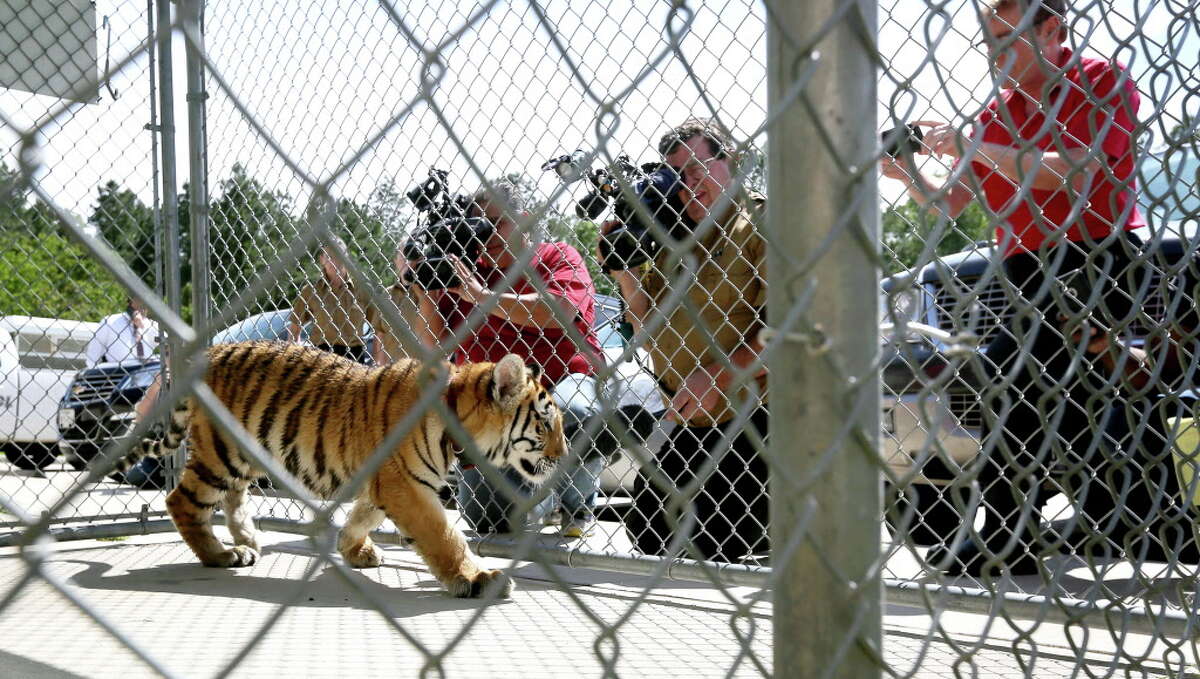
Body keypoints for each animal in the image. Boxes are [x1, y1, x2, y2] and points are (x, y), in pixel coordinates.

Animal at [123, 340, 566, 598]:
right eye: (545, 424)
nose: (563, 456)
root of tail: (209, 353)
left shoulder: (384, 481)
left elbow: (361, 517)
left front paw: (353, 551)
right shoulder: (406, 485)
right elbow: (445, 537)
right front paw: (477, 579)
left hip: (244, 454)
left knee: (233, 497)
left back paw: (247, 541)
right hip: (221, 453)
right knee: (181, 500)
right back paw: (220, 554)